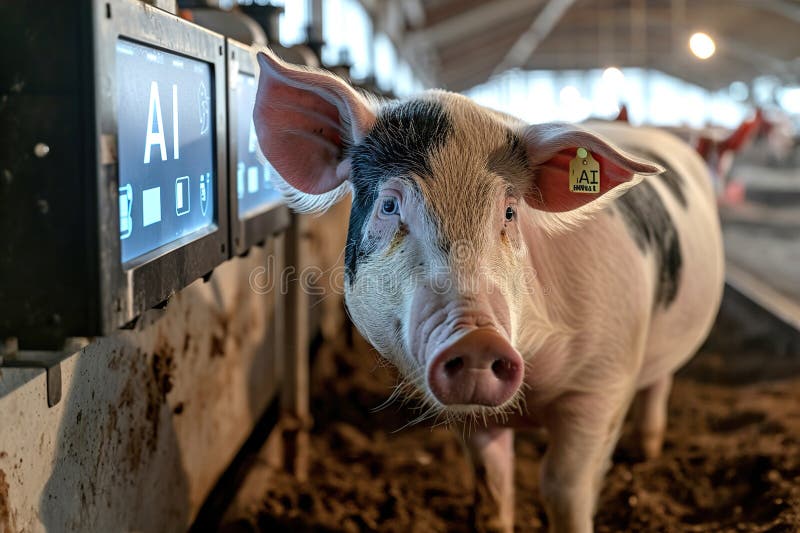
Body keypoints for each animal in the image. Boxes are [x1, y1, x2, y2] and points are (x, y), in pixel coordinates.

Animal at [253, 48, 724, 532]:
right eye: (389, 204)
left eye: (511, 211)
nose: (477, 339)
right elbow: (492, 487)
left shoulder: (604, 381)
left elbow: (563, 485)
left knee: (660, 380)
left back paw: (644, 451)